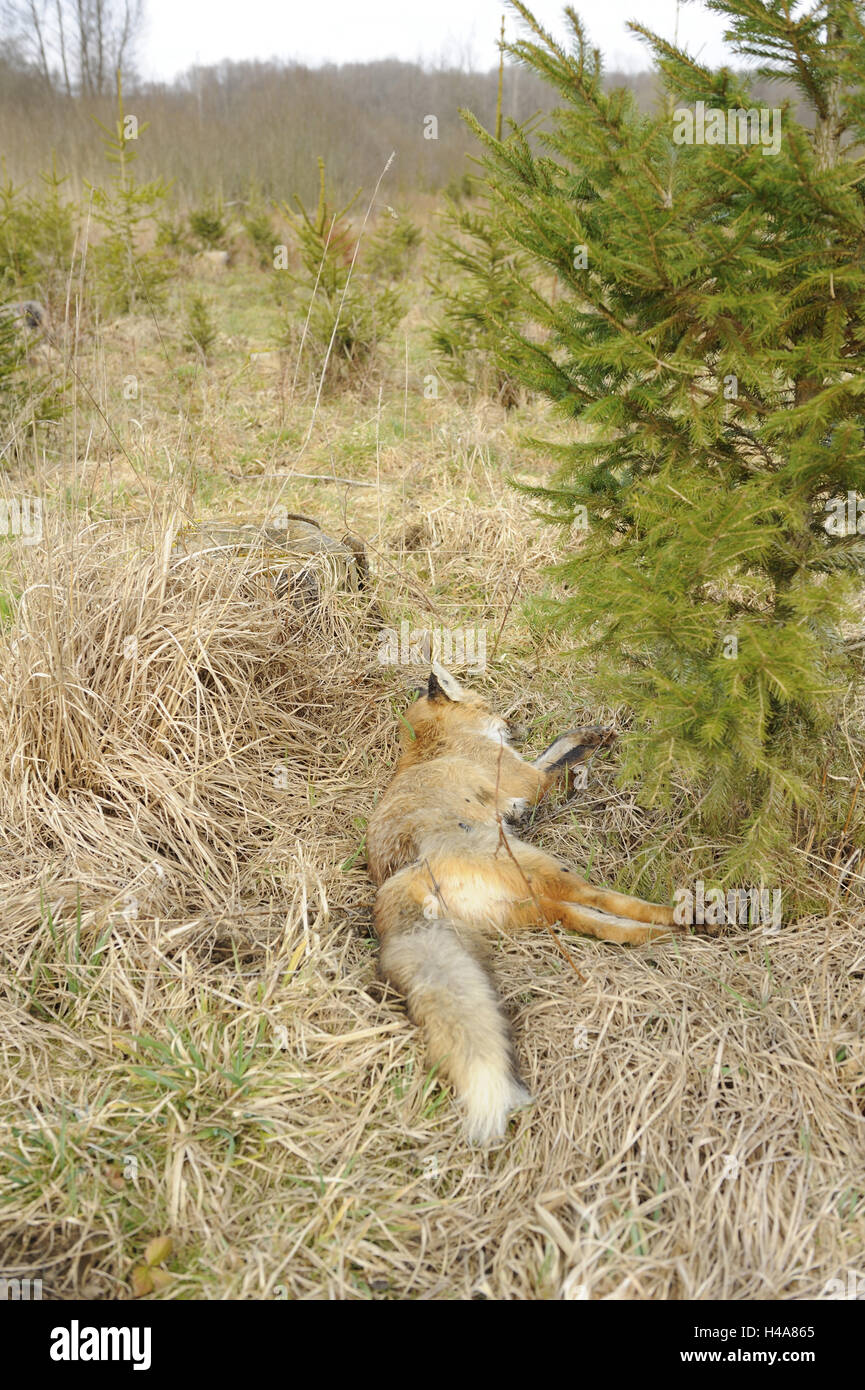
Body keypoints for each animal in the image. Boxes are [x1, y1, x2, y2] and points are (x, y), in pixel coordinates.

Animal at [367, 662, 682, 1144]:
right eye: (490, 703)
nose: (516, 723)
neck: (431, 742)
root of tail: (402, 875)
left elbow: (558, 746)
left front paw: (593, 733)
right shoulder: (526, 780)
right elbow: (554, 756)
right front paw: (588, 740)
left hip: (520, 903)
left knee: (583, 920)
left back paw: (653, 936)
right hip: (537, 868)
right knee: (594, 898)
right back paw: (679, 920)